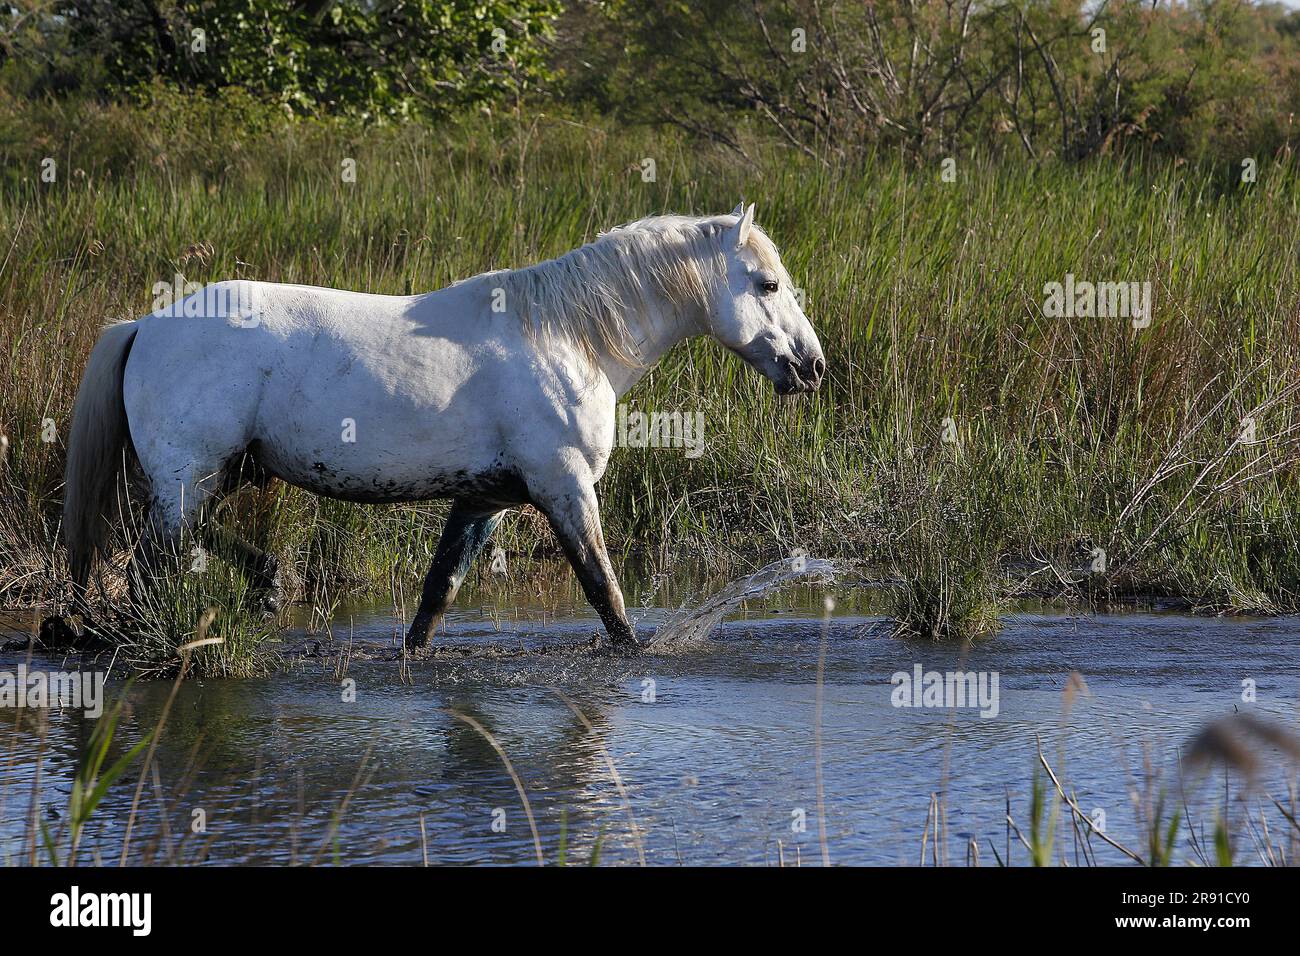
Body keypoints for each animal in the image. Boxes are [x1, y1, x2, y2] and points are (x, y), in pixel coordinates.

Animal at [63, 203, 825, 651]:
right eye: (766, 285)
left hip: (218, 475)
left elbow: (436, 599)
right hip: (188, 479)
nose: (811, 366)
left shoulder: (484, 499)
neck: (567, 338)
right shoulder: (565, 488)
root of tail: (143, 326)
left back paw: (268, 584)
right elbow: (605, 593)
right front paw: (635, 657)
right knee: (154, 563)